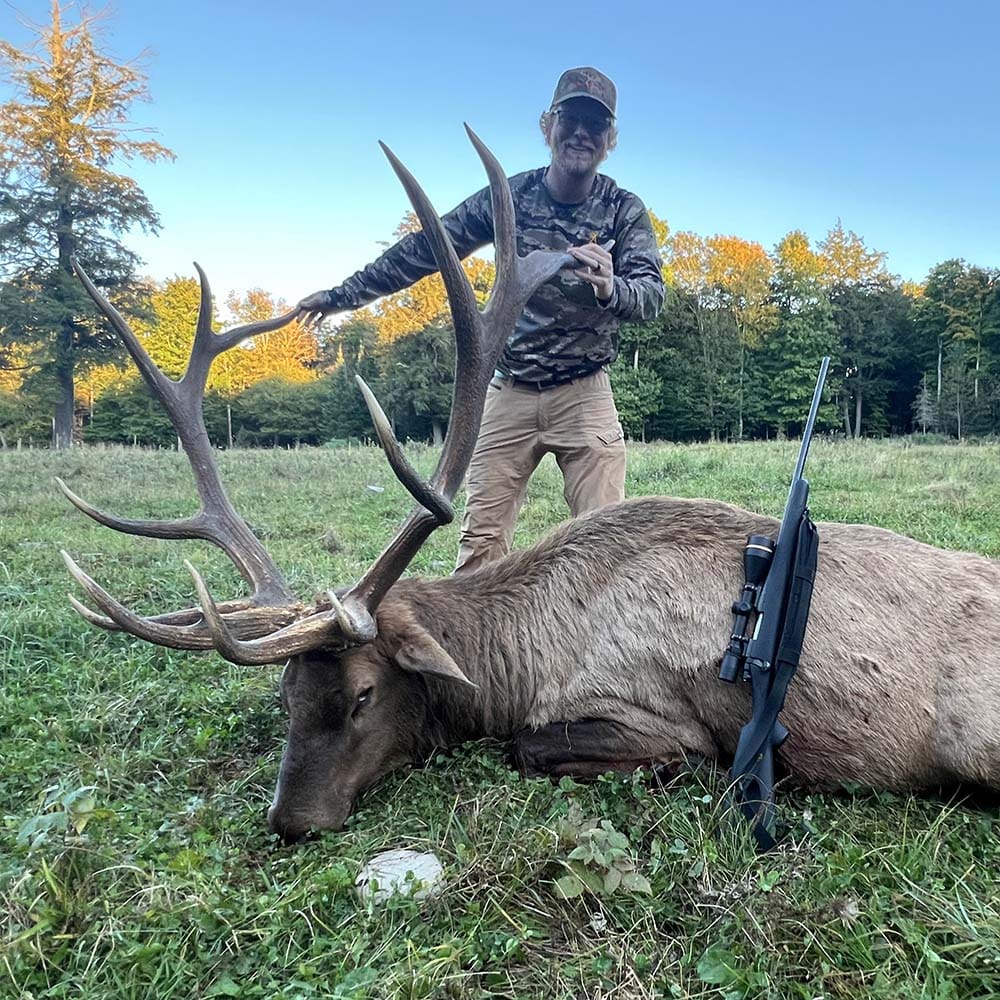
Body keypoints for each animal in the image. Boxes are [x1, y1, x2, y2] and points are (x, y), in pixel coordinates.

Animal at [61, 129, 1000, 842]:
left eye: (364, 692)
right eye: (286, 692)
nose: (293, 820)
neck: (519, 658)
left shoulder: (649, 713)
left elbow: (533, 747)